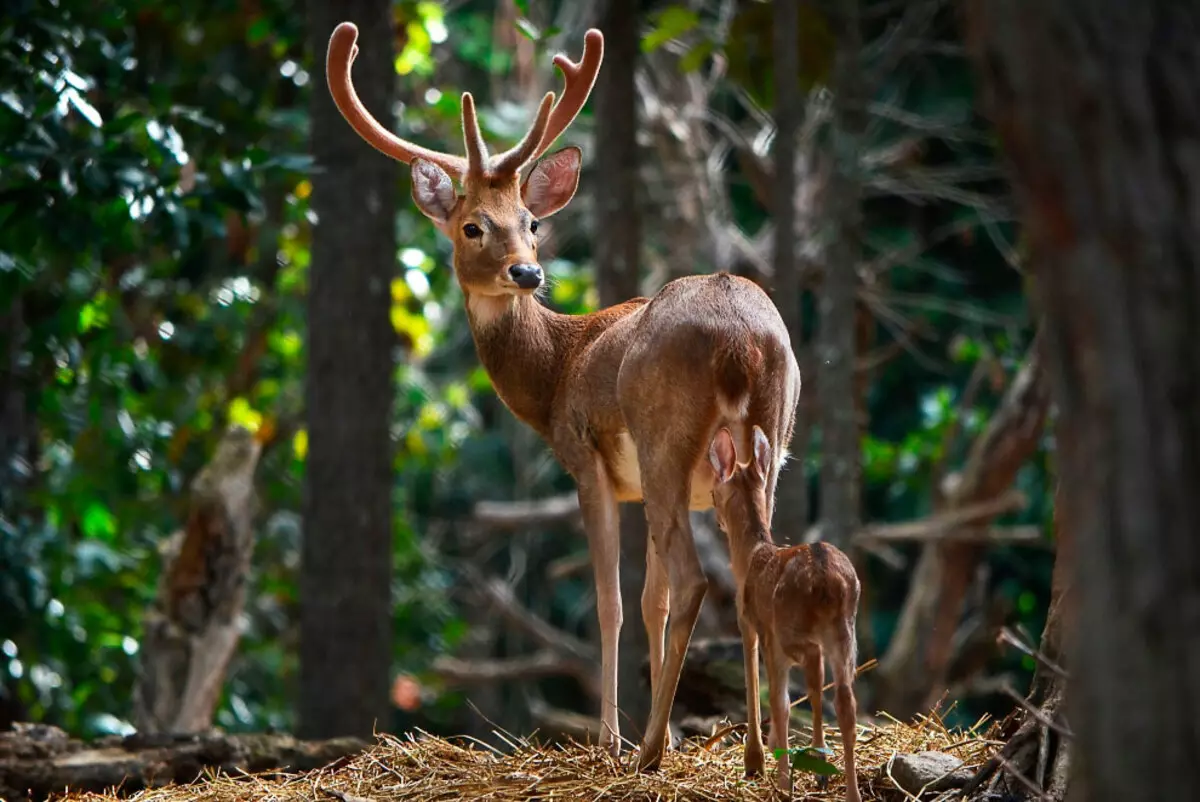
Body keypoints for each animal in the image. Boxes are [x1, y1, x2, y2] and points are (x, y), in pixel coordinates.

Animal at [324, 21, 801, 768]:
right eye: (473, 225)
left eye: (531, 221)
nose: (527, 271)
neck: (558, 369)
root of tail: (740, 342)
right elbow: (651, 600)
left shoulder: (586, 456)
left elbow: (614, 601)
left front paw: (610, 740)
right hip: (769, 438)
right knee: (750, 567)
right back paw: (759, 755)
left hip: (666, 440)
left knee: (695, 579)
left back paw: (650, 751)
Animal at [705, 422, 859, 797]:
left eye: (714, 491)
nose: (716, 520)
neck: (752, 557)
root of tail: (828, 579)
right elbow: (808, 693)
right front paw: (815, 765)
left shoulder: (757, 627)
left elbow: (778, 699)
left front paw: (777, 775)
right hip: (845, 632)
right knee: (844, 700)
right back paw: (849, 789)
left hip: (790, 629)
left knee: (801, 685)